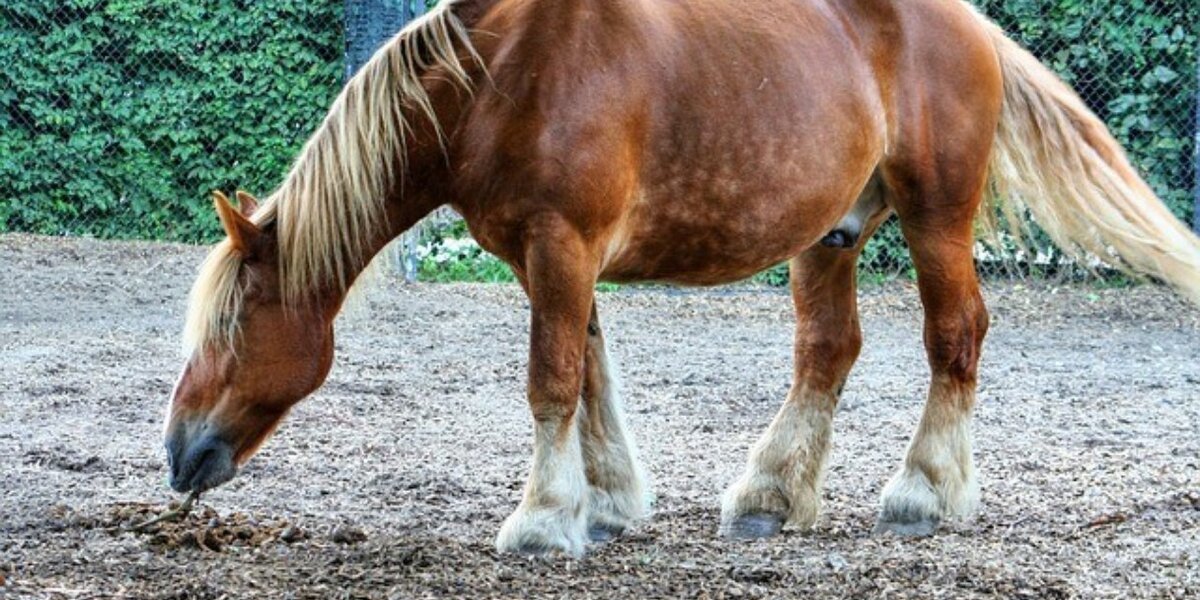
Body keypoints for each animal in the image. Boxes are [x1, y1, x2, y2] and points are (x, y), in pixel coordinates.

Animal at [163, 0, 1200, 556]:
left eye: (231, 329)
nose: (177, 455)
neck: (499, 79)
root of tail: (974, 25)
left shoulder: (561, 247)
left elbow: (552, 383)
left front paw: (543, 520)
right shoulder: (554, 261)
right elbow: (589, 378)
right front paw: (609, 504)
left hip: (935, 216)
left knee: (956, 335)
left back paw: (923, 493)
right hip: (830, 236)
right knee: (828, 351)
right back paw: (769, 497)